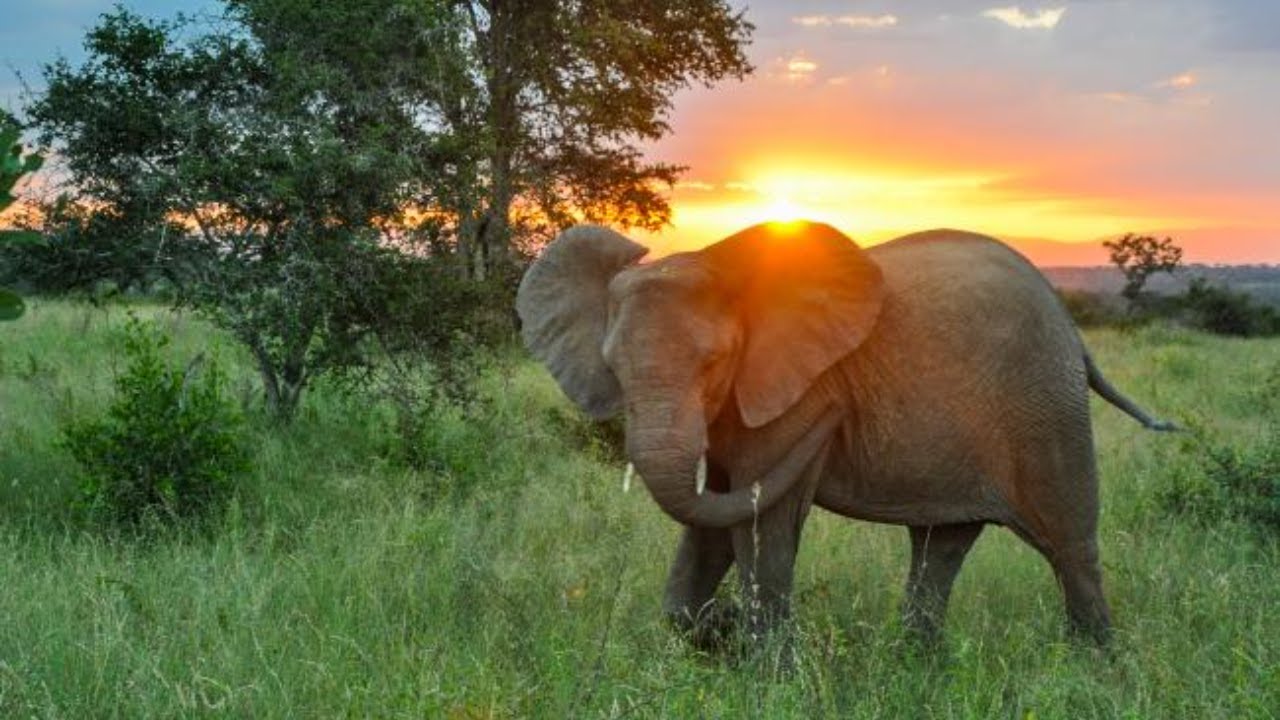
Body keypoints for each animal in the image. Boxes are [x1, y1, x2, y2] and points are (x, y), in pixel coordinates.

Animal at [515, 220, 1174, 647]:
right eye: (614, 367)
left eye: (715, 363)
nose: (724, 623)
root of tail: (1072, 329)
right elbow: (716, 511)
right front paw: (714, 633)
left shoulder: (795, 391)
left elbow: (759, 514)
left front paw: (765, 670)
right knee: (941, 544)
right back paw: (914, 665)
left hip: (1046, 405)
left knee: (1070, 547)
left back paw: (1094, 666)